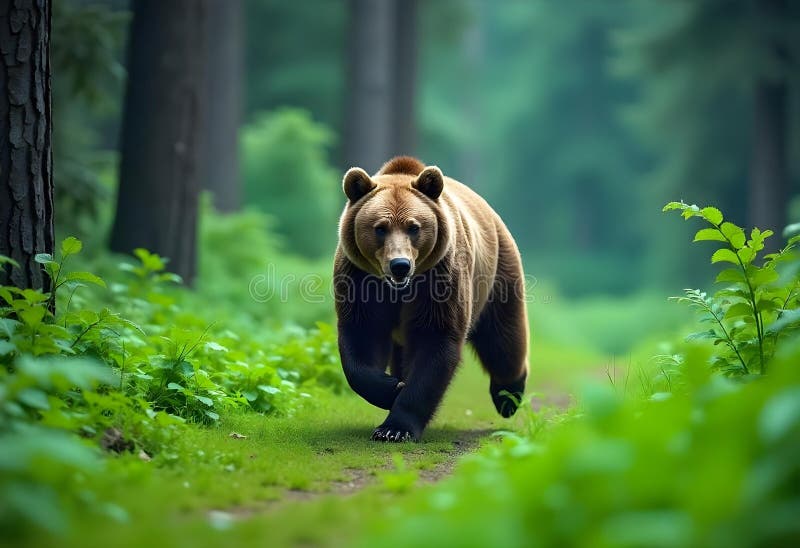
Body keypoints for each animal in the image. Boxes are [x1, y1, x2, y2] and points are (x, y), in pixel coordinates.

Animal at [334, 156, 529, 442]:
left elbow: (435, 343)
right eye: (380, 228)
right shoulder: (360, 279)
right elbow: (362, 338)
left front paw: (395, 428)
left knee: (503, 341)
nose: (400, 265)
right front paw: (391, 389)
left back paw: (508, 397)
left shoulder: (439, 280)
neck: (399, 289)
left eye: (413, 227)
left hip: (496, 276)